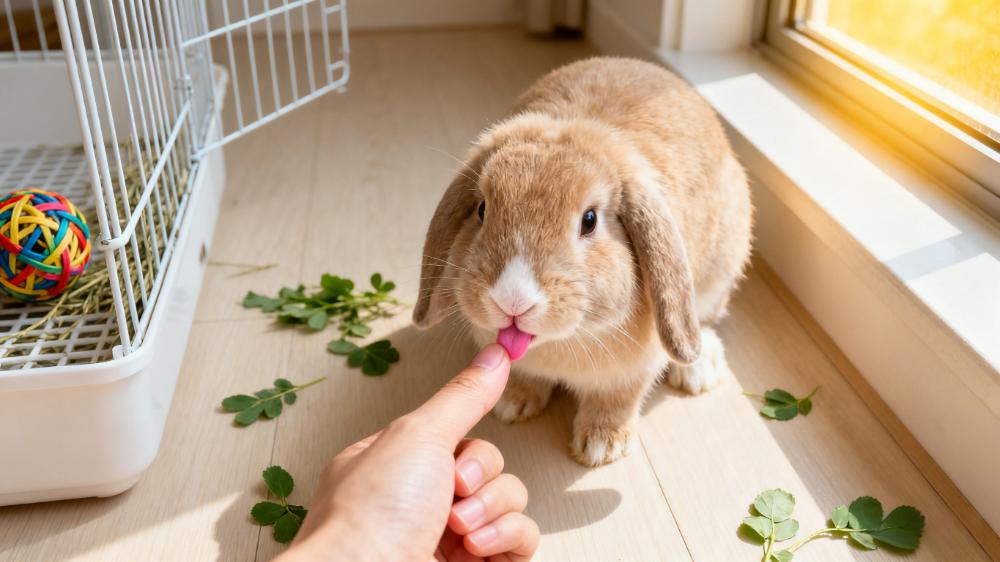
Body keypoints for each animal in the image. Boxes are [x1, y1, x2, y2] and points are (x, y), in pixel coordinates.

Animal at [414, 56, 753, 467]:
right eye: (482, 209)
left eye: (589, 220)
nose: (512, 300)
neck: (563, 342)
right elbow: (526, 378)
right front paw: (513, 405)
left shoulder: (632, 372)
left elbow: (617, 400)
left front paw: (600, 448)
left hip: (719, 274)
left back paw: (699, 370)